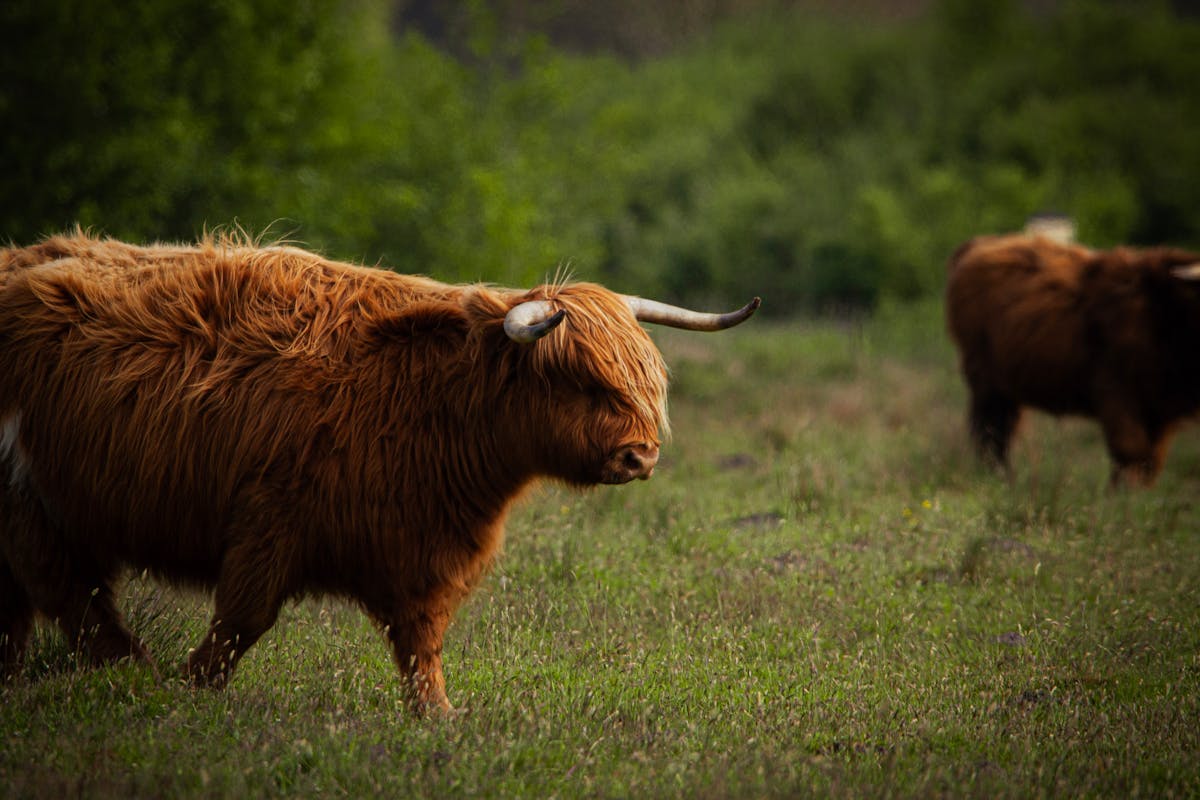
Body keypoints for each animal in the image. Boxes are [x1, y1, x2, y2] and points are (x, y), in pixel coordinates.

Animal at [0, 231, 759, 714]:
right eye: (579, 378)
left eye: (644, 381)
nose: (641, 456)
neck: (429, 400)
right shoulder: (268, 522)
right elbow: (240, 622)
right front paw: (190, 690)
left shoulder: (424, 550)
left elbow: (421, 643)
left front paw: (440, 718)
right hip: (31, 498)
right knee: (69, 596)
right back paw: (137, 675)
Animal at [945, 233, 1200, 486]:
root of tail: (982, 243)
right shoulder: (1117, 393)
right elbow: (1130, 451)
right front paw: (1120, 493)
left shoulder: (1161, 411)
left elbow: (1151, 460)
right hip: (985, 381)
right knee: (991, 431)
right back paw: (998, 477)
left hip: (1007, 387)